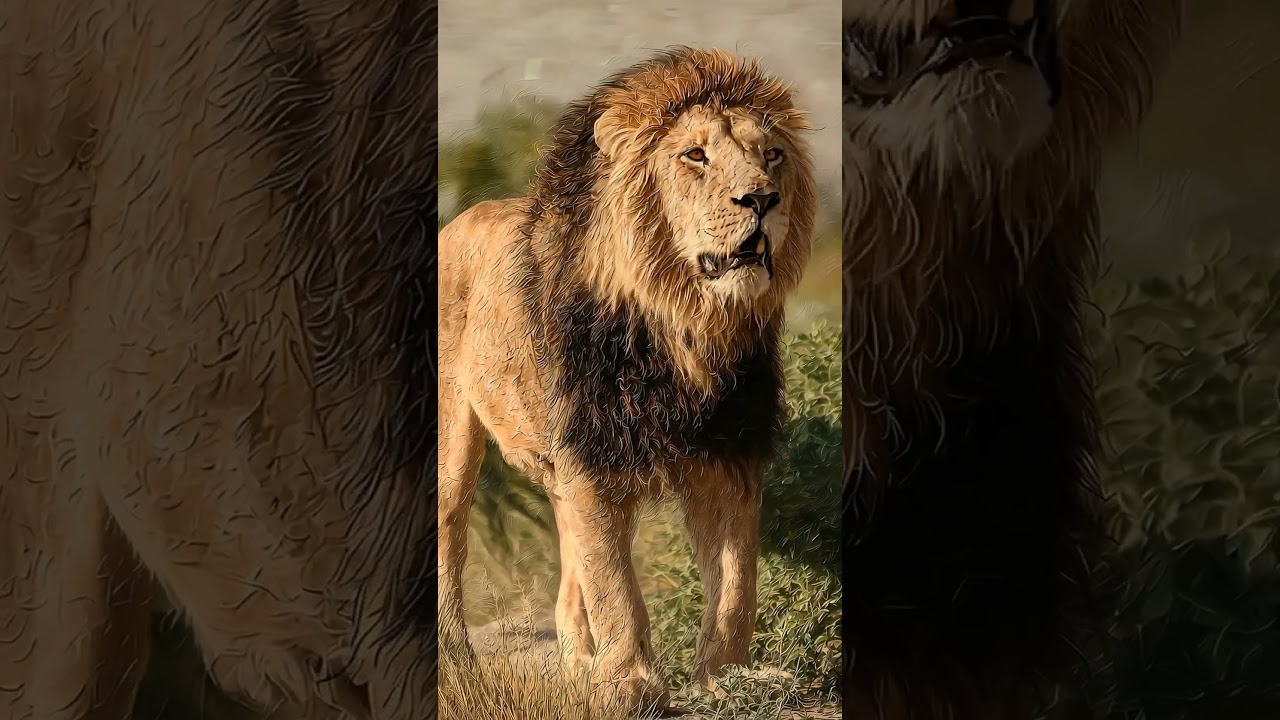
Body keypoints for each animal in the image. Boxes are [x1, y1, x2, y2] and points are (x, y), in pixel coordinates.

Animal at [437, 47, 817, 711]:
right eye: (695, 156)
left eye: (771, 155)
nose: (762, 200)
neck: (686, 323)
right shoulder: (594, 453)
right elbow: (615, 585)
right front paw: (630, 684)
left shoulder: (730, 452)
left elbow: (736, 584)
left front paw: (729, 680)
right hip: (454, 439)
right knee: (450, 533)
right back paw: (457, 659)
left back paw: (579, 665)